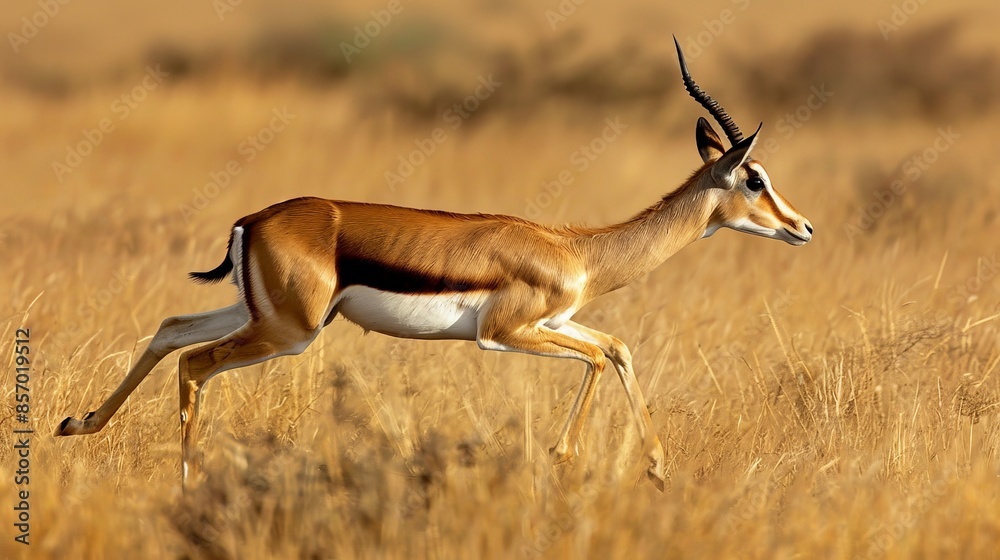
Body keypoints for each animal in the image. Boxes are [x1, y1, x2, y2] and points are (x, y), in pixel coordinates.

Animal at [56, 38, 812, 491]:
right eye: (754, 178)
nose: (803, 227)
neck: (577, 248)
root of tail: (254, 220)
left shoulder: (560, 322)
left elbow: (617, 347)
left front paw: (656, 468)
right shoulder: (507, 333)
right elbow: (602, 357)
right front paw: (562, 460)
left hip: (258, 314)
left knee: (169, 331)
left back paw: (76, 425)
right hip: (289, 333)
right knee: (195, 361)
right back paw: (187, 484)